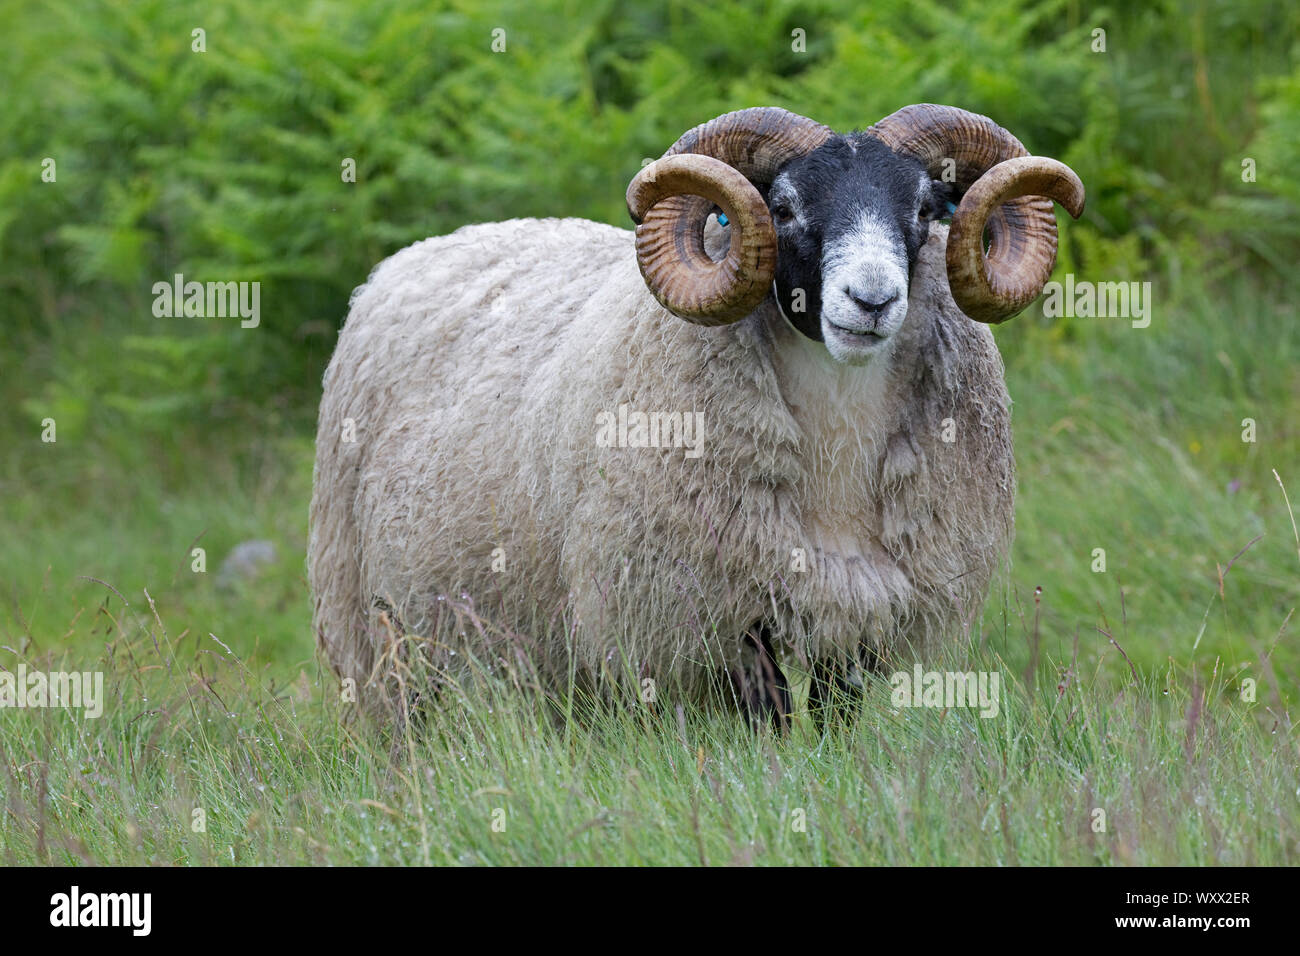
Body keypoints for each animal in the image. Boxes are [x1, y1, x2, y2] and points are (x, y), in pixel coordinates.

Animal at [308, 104, 1084, 730]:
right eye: (784, 207)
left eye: (925, 209)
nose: (872, 301)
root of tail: (407, 259)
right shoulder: (717, 607)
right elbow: (769, 720)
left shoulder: (861, 600)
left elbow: (835, 719)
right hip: (384, 629)